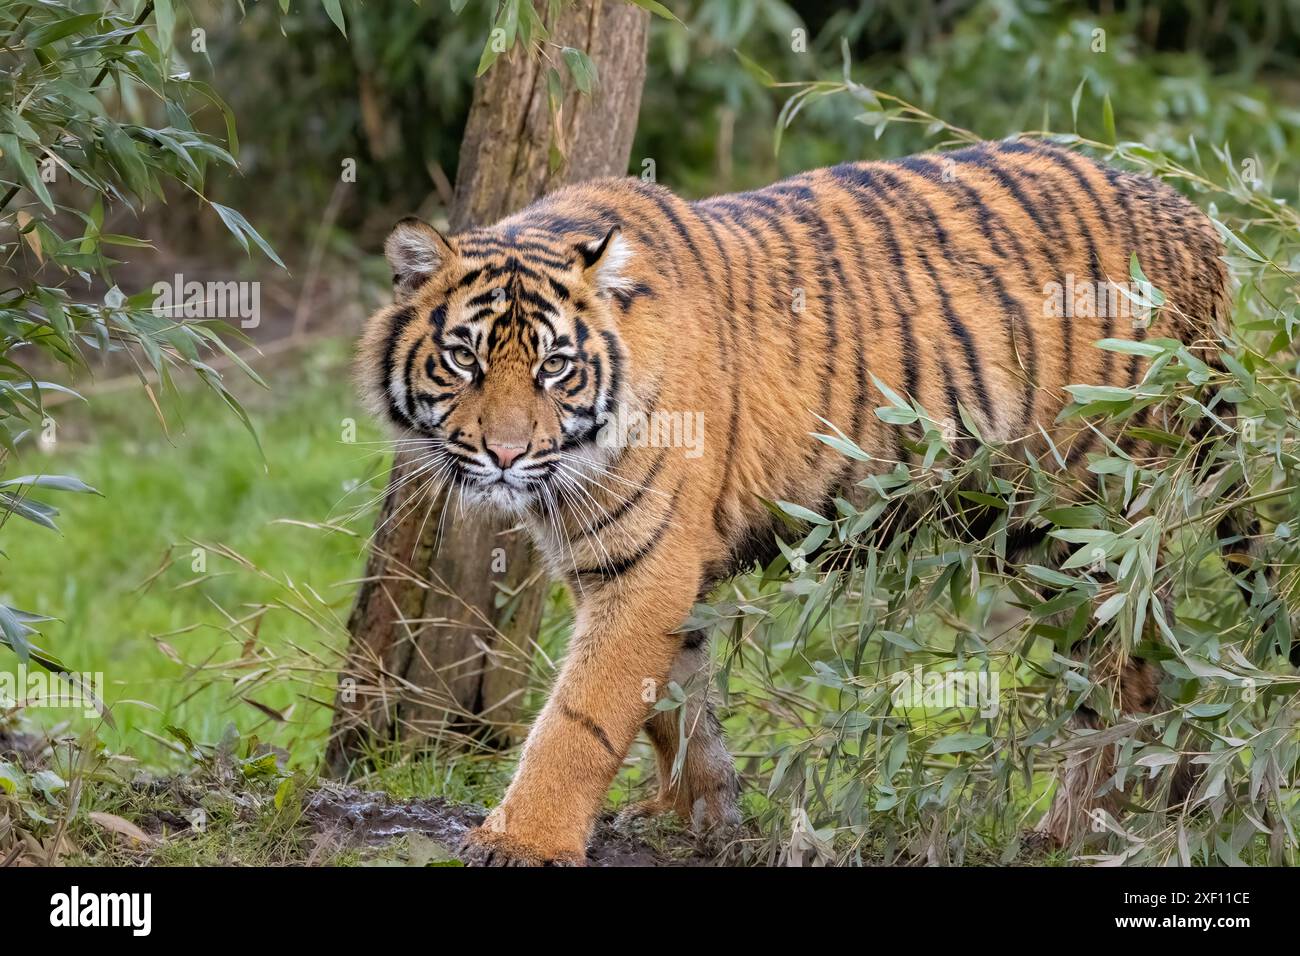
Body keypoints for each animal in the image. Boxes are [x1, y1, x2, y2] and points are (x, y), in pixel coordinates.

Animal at [357, 139, 1231, 865]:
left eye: (555, 368)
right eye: (463, 358)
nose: (505, 454)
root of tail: (1194, 218)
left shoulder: (646, 566)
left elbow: (581, 717)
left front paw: (523, 841)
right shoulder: (630, 566)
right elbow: (676, 702)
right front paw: (702, 814)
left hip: (1088, 523)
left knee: (1125, 679)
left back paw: (1077, 831)